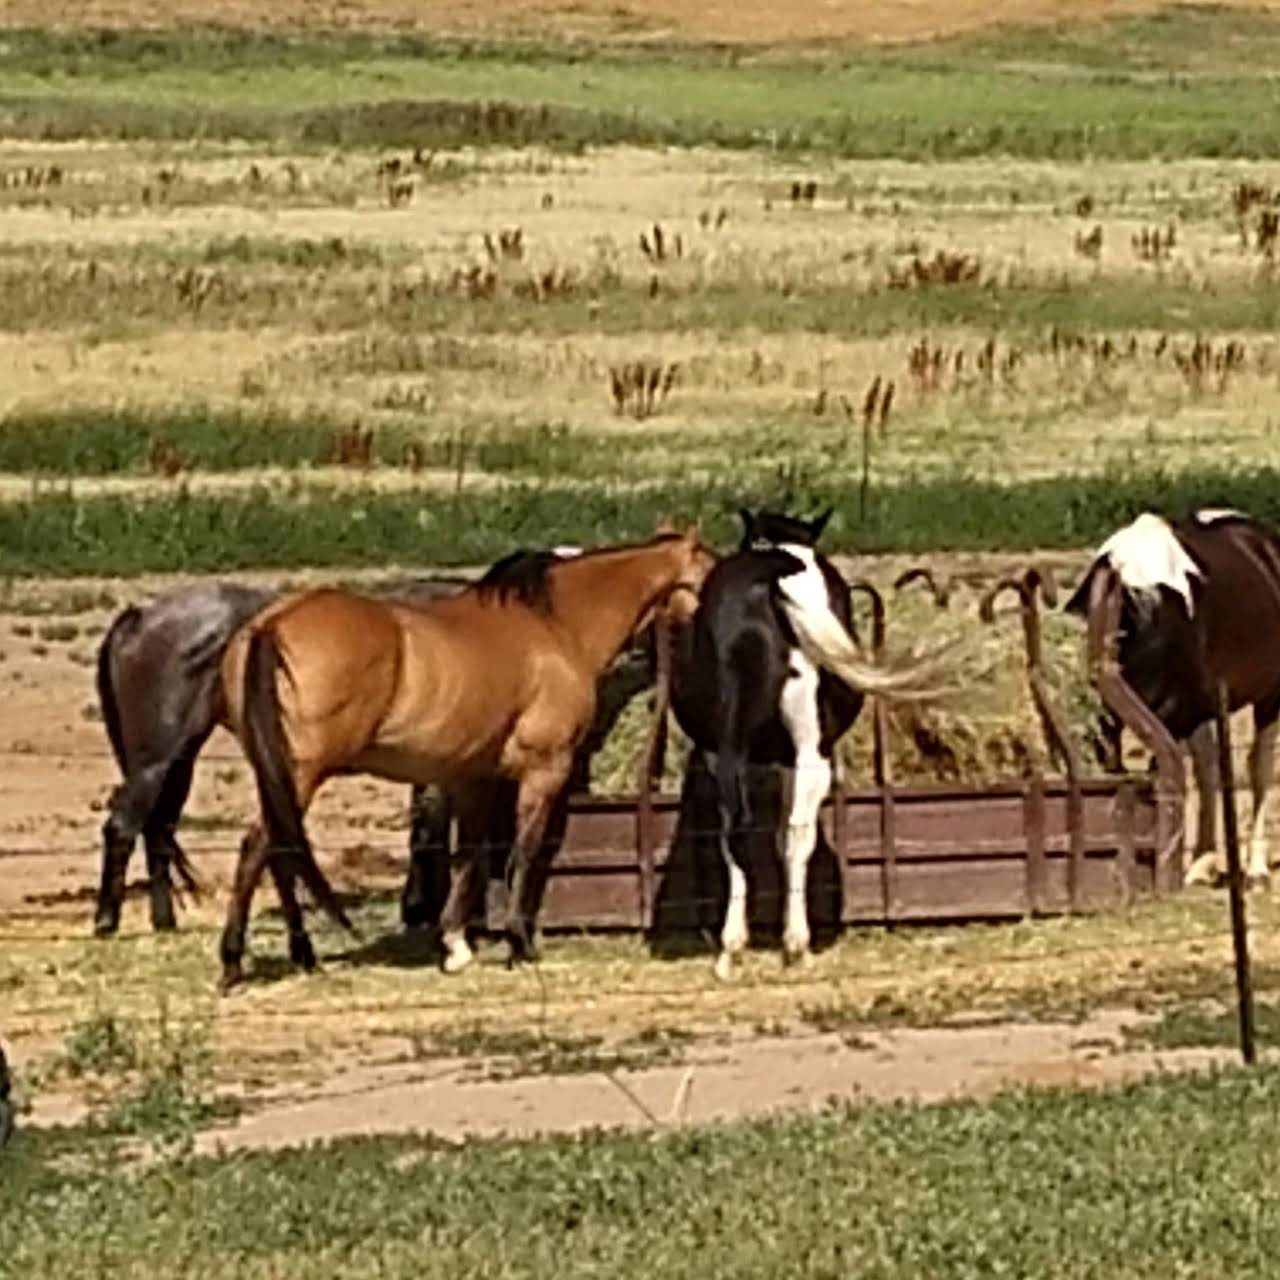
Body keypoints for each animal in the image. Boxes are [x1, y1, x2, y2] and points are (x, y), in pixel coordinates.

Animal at [216, 527, 714, 991]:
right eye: (710, 571)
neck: (553, 625)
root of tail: (273, 623)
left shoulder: (472, 778)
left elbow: (470, 857)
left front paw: (455, 945)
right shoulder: (543, 769)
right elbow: (523, 852)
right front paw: (519, 943)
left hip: (275, 775)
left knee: (271, 852)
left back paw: (292, 956)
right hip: (301, 773)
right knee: (263, 847)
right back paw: (241, 960)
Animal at [670, 508, 932, 979]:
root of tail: (773, 577)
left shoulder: (729, 756)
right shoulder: (792, 761)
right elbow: (786, 838)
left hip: (737, 751)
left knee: (738, 831)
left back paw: (733, 950)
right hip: (811, 754)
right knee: (796, 835)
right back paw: (795, 944)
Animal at [1065, 508, 1280, 888]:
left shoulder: (1176, 713)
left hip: (1266, 698)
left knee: (1260, 766)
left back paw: (1255, 867)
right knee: (1210, 768)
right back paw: (1202, 863)